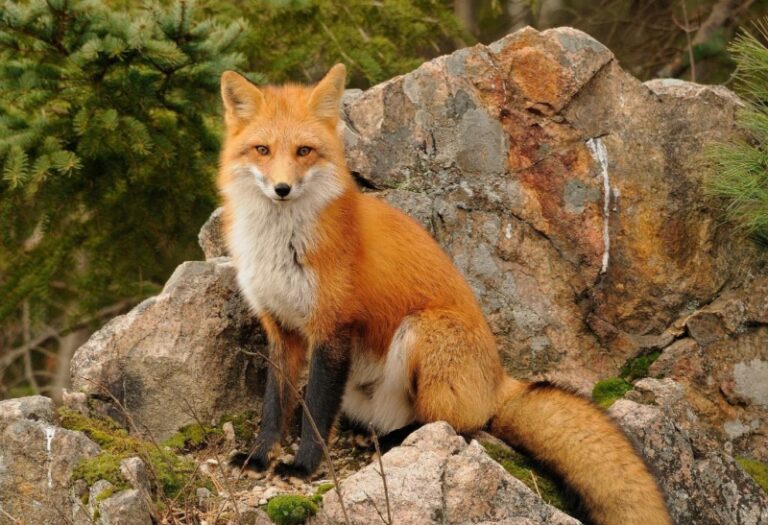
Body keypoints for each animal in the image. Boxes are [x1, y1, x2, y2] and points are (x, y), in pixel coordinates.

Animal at [217, 64, 672, 525]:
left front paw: (304, 466)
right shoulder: (281, 327)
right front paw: (259, 457)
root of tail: (498, 380)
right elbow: (274, 405)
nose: (282, 189)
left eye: (304, 151)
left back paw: (397, 439)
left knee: (451, 425)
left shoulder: (333, 328)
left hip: (423, 330)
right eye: (262, 150)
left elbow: (317, 410)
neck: (281, 245)